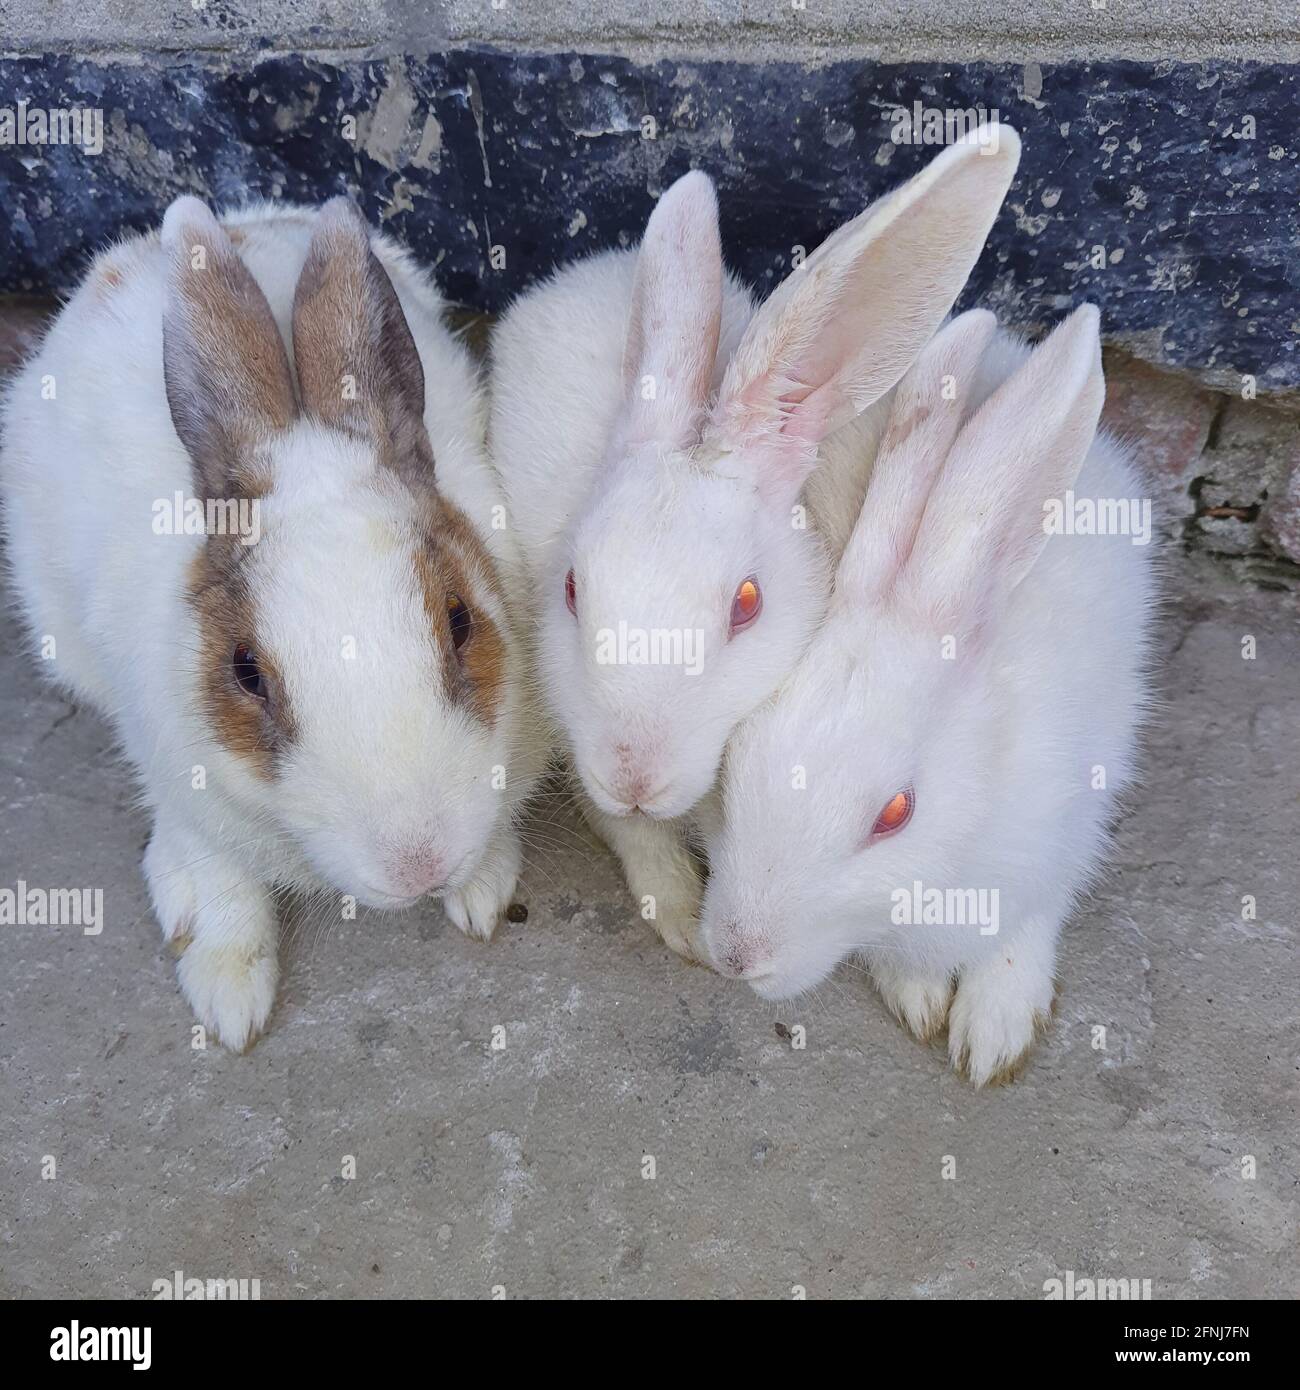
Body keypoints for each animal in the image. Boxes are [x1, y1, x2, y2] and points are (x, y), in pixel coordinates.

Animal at [0, 196, 546, 1049]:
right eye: (246, 671)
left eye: (459, 621)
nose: (418, 864)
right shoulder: (183, 787)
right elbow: (219, 882)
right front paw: (229, 999)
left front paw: (481, 889)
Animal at [698, 305, 1158, 1086]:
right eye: (730, 771)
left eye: (896, 813)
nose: (737, 958)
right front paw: (918, 998)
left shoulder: (1065, 827)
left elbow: (1031, 921)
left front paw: (995, 1035)